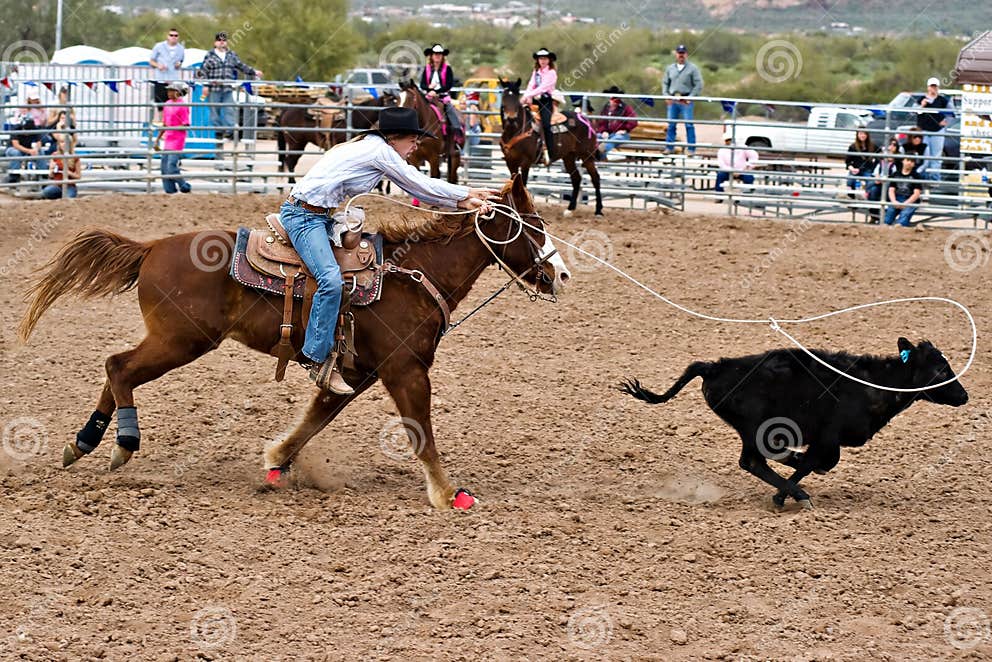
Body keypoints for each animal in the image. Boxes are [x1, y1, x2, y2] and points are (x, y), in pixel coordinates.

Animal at [619, 338, 968, 509]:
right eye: (940, 370)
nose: (964, 396)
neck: (874, 384)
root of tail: (715, 367)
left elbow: (816, 462)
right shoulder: (827, 437)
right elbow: (819, 461)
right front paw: (785, 492)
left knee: (758, 460)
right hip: (755, 427)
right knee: (753, 461)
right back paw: (797, 493)